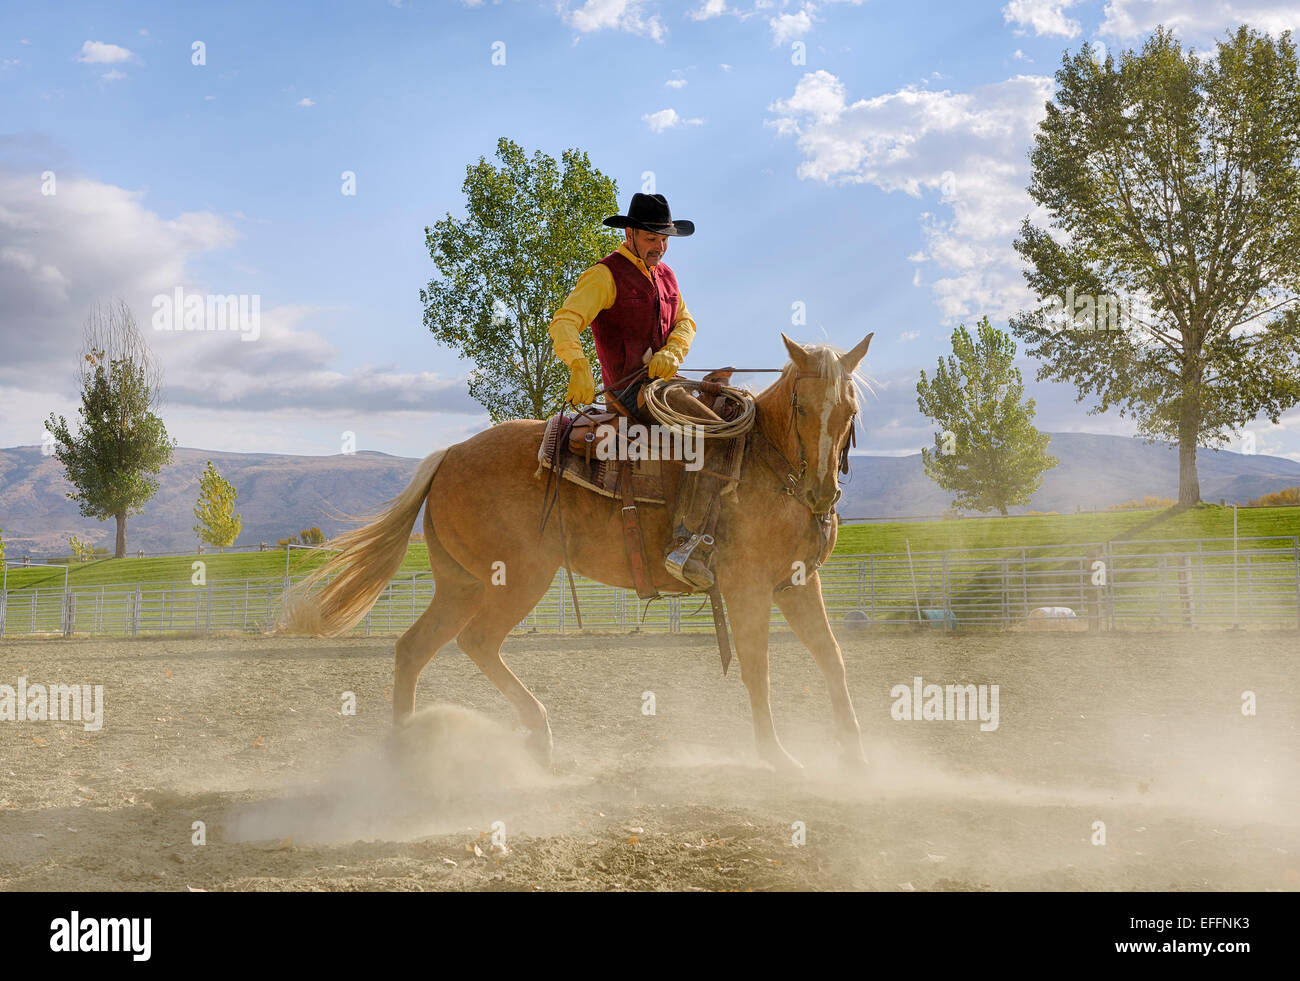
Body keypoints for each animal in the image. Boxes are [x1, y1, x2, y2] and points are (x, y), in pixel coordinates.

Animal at [280, 331, 873, 773]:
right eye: (801, 406)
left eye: (848, 409)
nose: (822, 493)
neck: (767, 464)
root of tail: (448, 454)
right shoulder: (746, 586)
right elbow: (757, 666)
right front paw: (778, 757)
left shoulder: (796, 583)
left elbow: (833, 658)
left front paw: (857, 756)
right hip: (519, 578)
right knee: (476, 641)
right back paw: (537, 736)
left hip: (462, 584)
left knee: (412, 649)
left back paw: (409, 754)